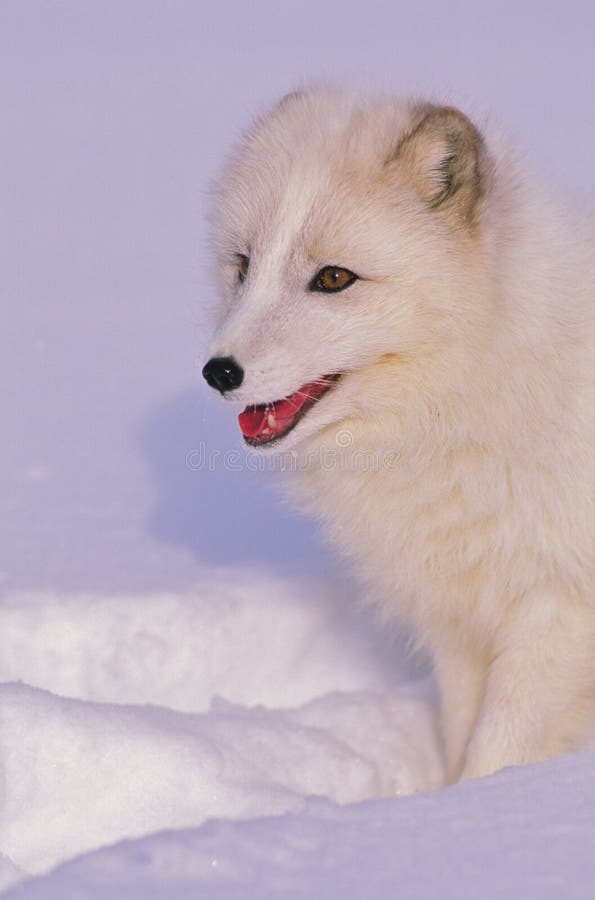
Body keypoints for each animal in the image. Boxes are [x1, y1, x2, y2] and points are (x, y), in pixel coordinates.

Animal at [202, 86, 595, 784]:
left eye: (334, 278)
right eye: (244, 266)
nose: (218, 371)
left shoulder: (559, 611)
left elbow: (497, 751)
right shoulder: (461, 622)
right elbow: (462, 735)